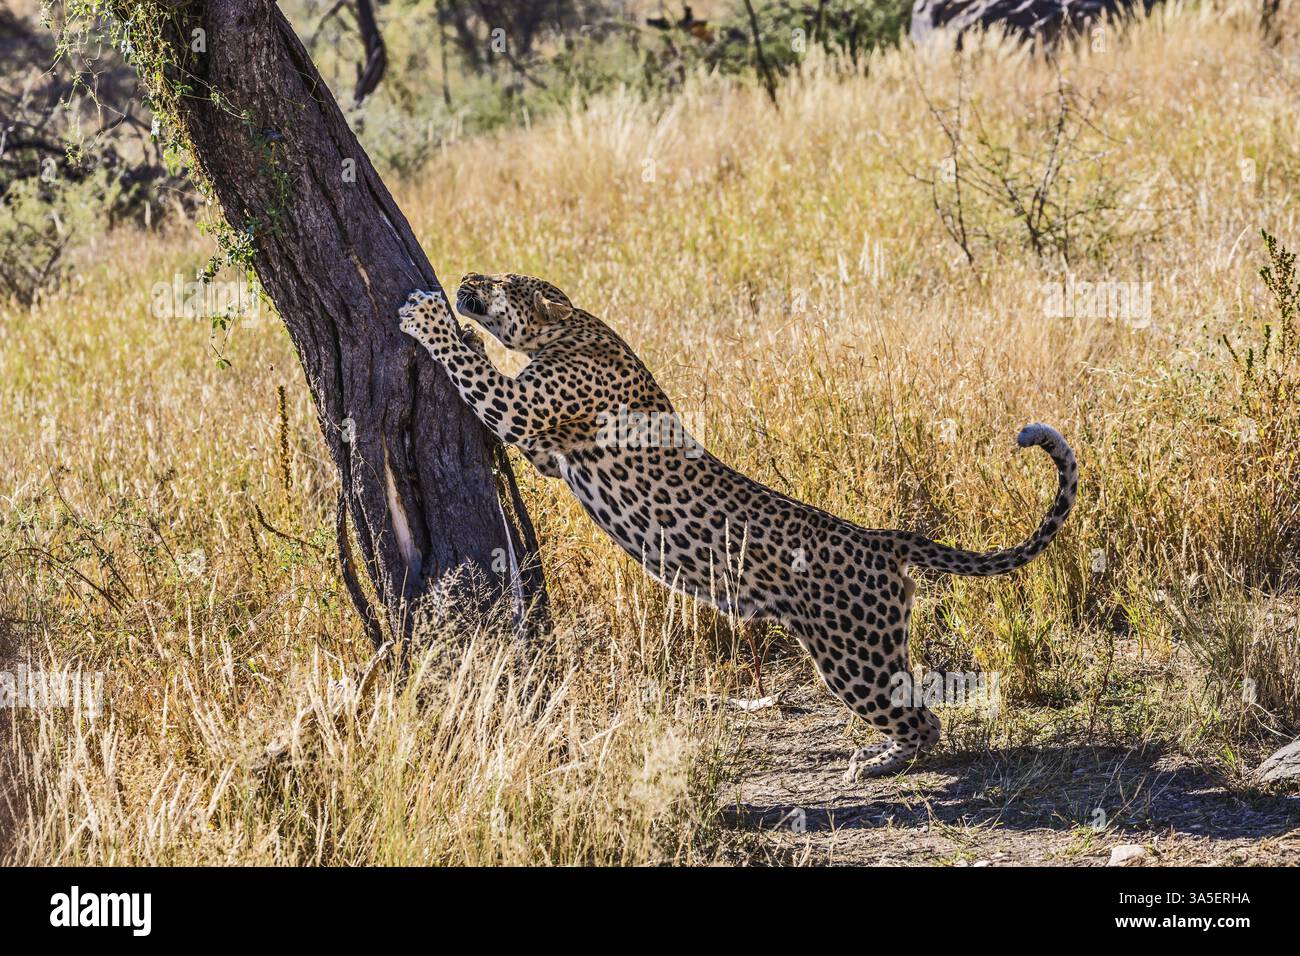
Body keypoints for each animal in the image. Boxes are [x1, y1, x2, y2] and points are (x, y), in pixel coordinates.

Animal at [398, 273, 1077, 779]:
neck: (571, 326)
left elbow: (467, 363)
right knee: (915, 703)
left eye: (500, 281)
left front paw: (427, 314)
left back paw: (879, 763)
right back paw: (879, 755)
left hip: (851, 655)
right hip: (874, 644)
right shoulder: (542, 449)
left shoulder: (519, 409)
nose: (465, 278)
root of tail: (879, 537)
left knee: (922, 718)